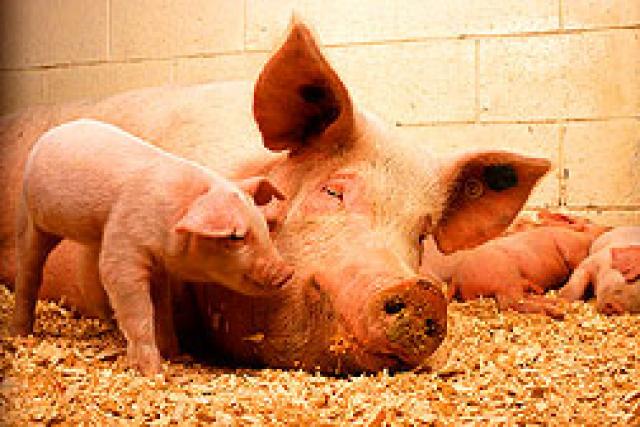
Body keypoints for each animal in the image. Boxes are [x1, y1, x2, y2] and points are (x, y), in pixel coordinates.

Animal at [12, 119, 293, 375]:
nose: (287, 272)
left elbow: (162, 310)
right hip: (31, 219)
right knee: (28, 271)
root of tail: (49, 134)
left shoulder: (159, 267)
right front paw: (153, 371)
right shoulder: (123, 243)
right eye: (235, 237)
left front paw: (176, 355)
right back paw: (21, 334)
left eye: (264, 226)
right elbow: (135, 305)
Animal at [420, 220, 609, 319]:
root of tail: (456, 279)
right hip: (504, 277)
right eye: (590, 223)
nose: (608, 227)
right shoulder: (571, 249)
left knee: (524, 298)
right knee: (511, 303)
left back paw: (555, 303)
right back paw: (558, 311)